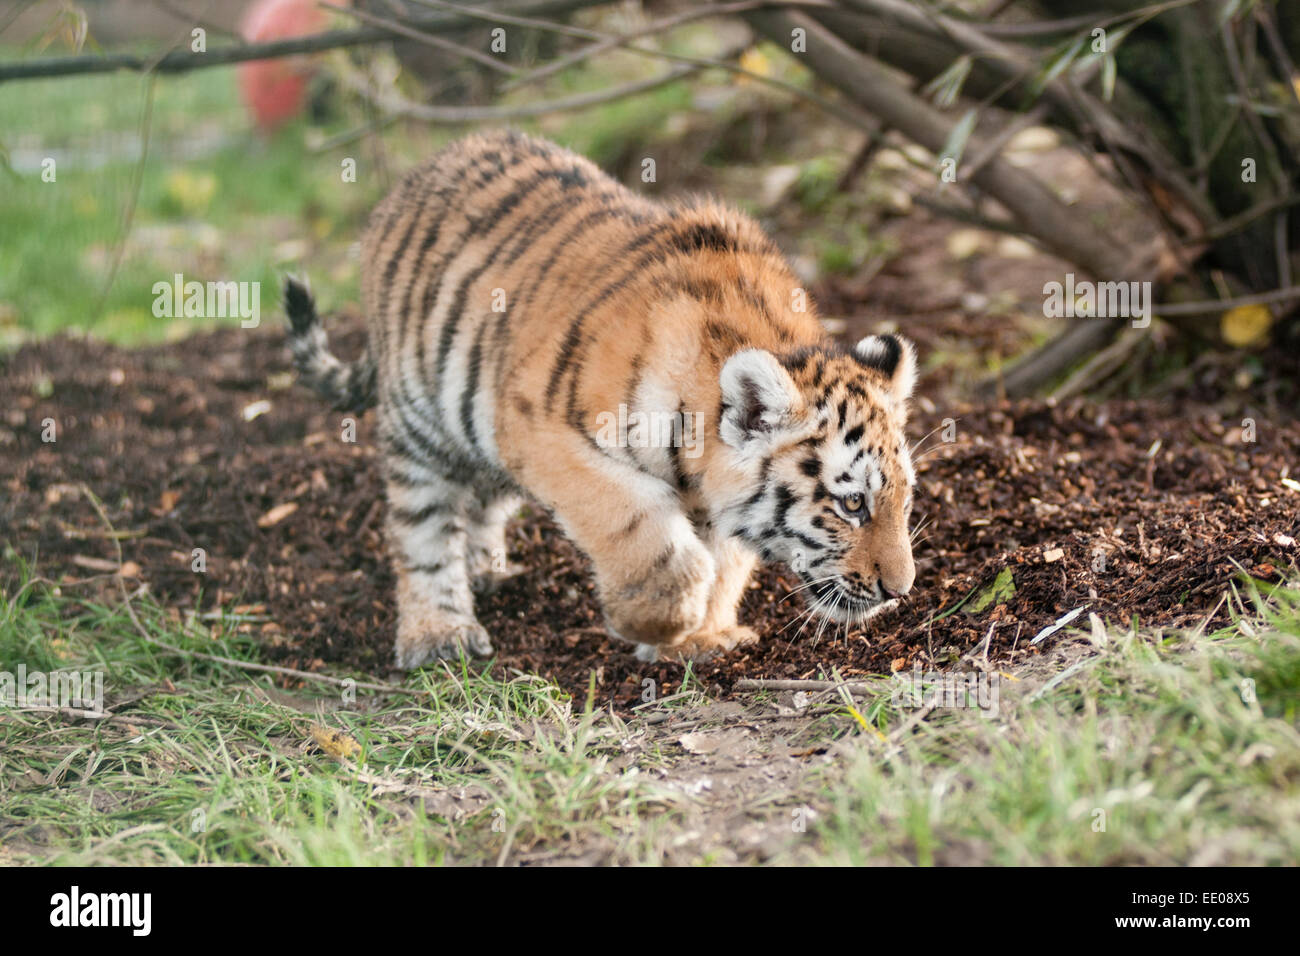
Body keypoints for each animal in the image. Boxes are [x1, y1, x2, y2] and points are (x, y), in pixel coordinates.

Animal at [285, 129, 918, 669]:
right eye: (852, 504)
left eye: (905, 499)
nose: (900, 590)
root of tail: (421, 171)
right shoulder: (542, 433)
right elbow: (642, 534)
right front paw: (655, 621)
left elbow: (725, 563)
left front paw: (701, 638)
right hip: (421, 426)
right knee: (421, 531)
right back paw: (439, 634)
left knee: (481, 501)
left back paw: (485, 569)